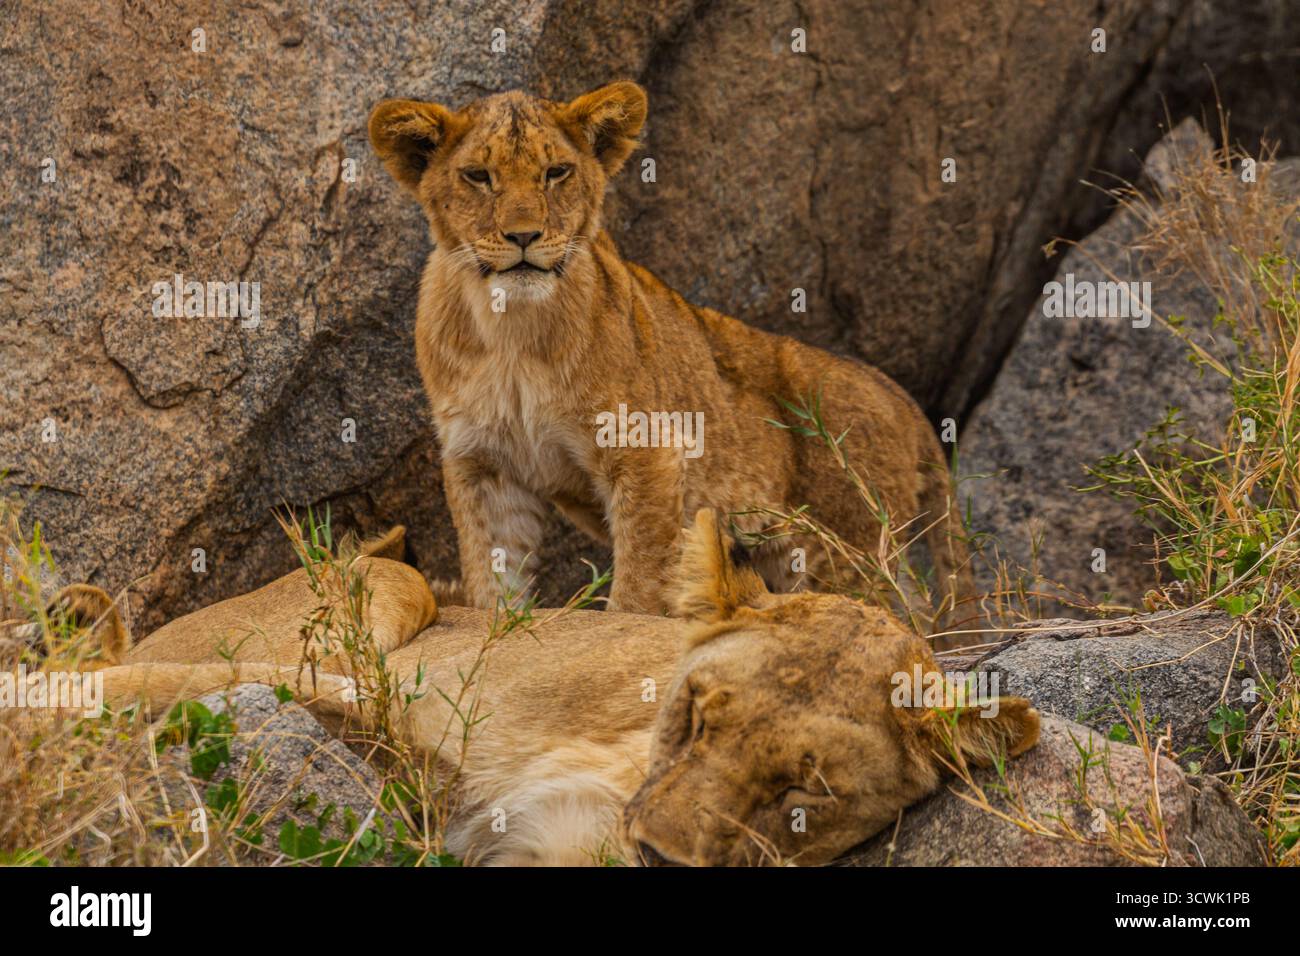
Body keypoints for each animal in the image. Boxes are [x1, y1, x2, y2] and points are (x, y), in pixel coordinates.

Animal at [368, 80, 971, 630]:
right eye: (478, 176)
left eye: (556, 172)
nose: (523, 236)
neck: (510, 330)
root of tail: (901, 399)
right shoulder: (484, 465)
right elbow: (493, 578)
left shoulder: (647, 449)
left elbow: (638, 582)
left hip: (844, 544)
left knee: (897, 610)